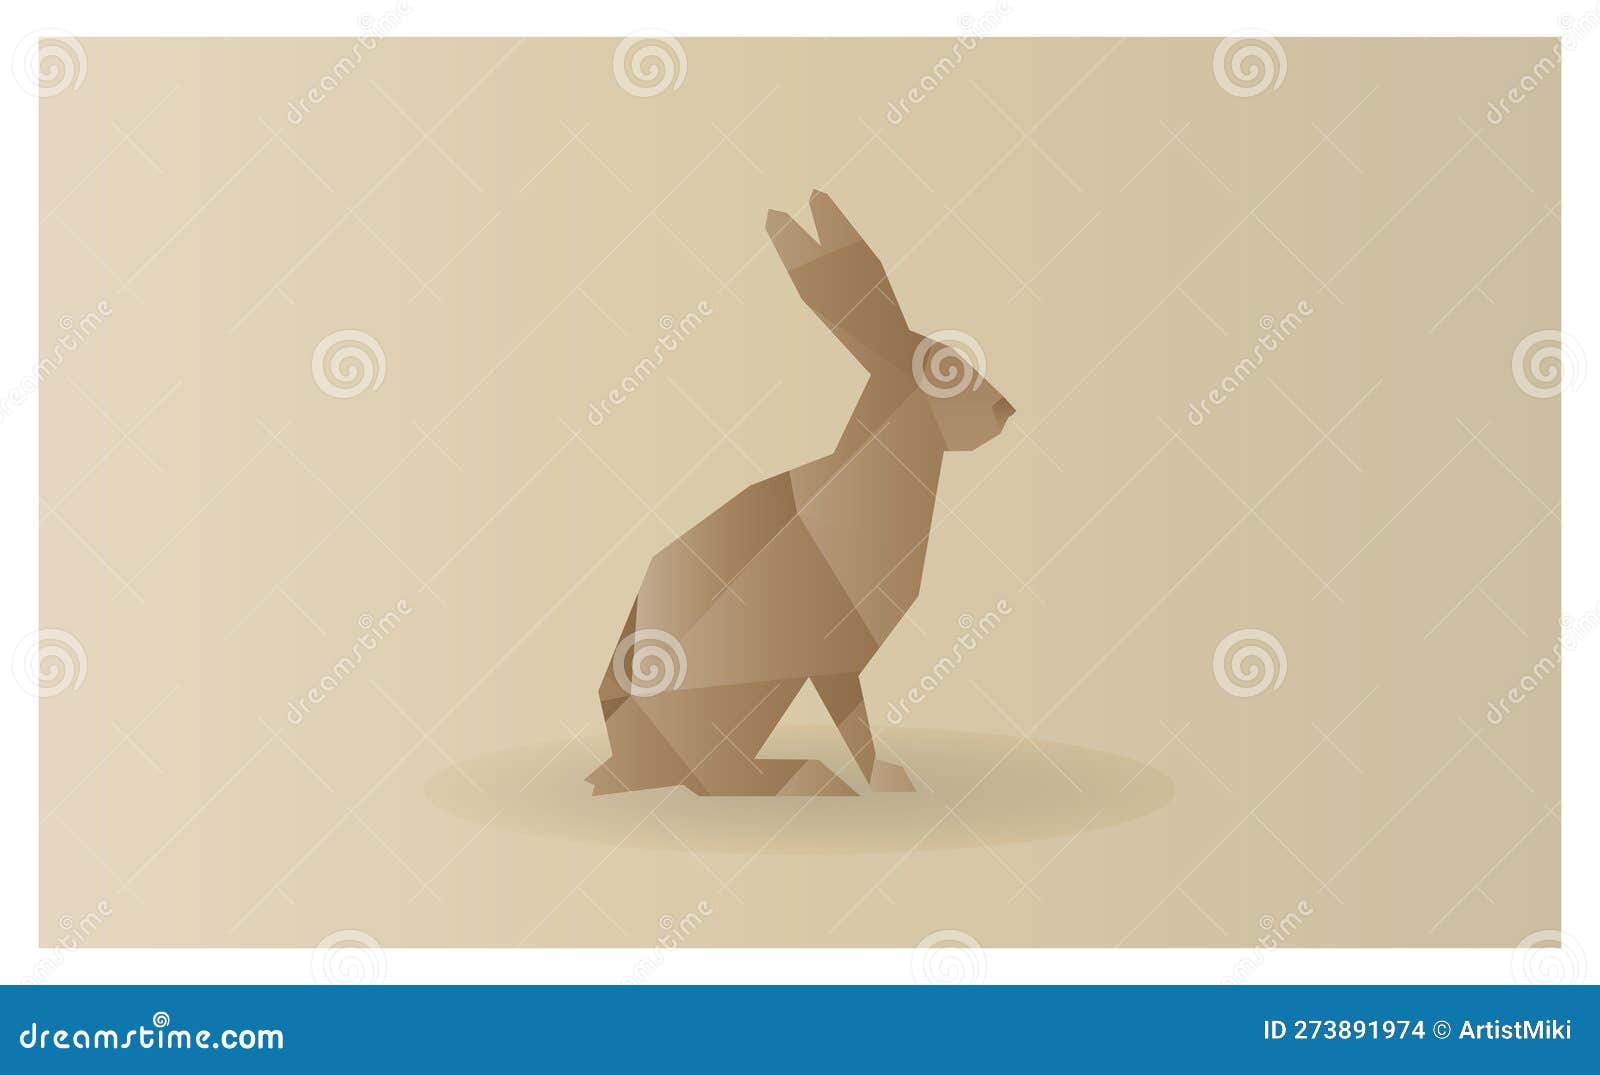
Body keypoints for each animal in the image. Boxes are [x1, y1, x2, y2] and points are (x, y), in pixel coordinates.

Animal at [587, 190, 1014, 796]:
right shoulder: (837, 661)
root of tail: (623, 764)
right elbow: (855, 723)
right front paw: (887, 781)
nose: (1007, 410)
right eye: (949, 369)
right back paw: (809, 777)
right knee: (716, 778)